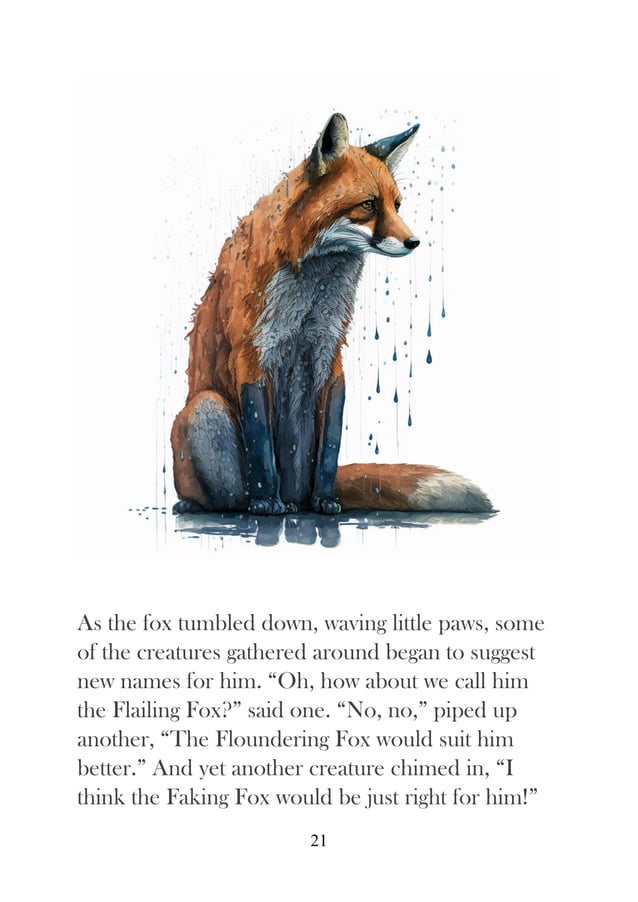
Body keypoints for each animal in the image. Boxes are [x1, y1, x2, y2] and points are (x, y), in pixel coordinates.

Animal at [171, 113, 492, 515]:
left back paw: (304, 502)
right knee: (227, 496)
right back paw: (213, 504)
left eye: (397, 205)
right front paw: (266, 501)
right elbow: (261, 446)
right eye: (369, 205)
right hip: (205, 408)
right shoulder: (251, 355)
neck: (311, 289)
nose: (414, 242)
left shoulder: (330, 351)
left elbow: (330, 447)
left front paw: (324, 500)